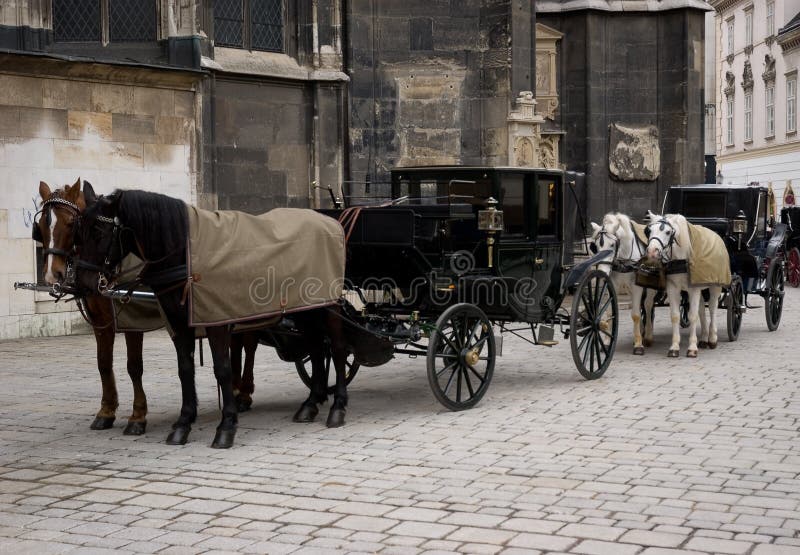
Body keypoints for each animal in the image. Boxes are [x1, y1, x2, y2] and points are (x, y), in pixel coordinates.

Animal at [75, 186, 349, 448]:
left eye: (98, 232)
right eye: (78, 232)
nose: (83, 283)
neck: (185, 255)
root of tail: (328, 221)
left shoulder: (216, 320)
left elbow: (223, 369)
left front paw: (226, 425)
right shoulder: (179, 324)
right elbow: (185, 369)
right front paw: (183, 423)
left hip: (330, 307)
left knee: (336, 349)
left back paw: (338, 406)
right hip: (308, 309)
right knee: (317, 348)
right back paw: (311, 403)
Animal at [590, 213, 655, 355]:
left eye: (612, 245)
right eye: (596, 246)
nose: (602, 272)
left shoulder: (637, 287)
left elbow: (635, 315)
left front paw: (638, 344)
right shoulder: (613, 285)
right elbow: (610, 312)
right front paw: (607, 342)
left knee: (648, 305)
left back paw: (647, 336)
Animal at [645, 212, 724, 358]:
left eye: (668, 232)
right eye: (649, 231)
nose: (652, 251)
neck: (680, 259)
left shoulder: (694, 290)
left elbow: (692, 316)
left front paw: (692, 347)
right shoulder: (673, 289)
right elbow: (676, 316)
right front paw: (674, 347)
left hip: (715, 286)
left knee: (712, 308)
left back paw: (712, 338)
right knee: (702, 310)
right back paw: (704, 338)